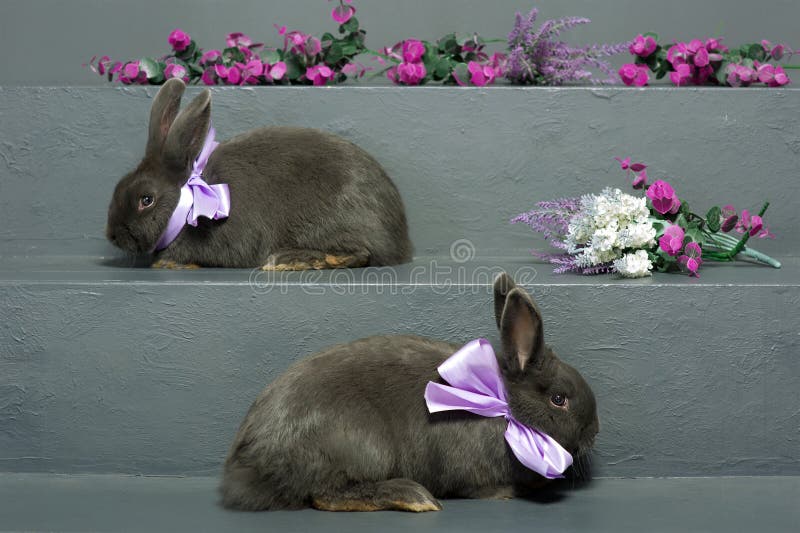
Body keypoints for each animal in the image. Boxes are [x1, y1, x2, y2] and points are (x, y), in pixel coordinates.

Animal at [105, 78, 412, 269]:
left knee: (360, 253)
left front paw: (169, 262)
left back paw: (287, 260)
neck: (190, 200)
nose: (112, 236)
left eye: (146, 200)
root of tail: (400, 243)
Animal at [220, 272, 599, 512]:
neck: (501, 404)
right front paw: (505, 493)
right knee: (327, 494)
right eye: (559, 399)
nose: (593, 432)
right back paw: (413, 497)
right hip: (362, 444)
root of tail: (250, 464)